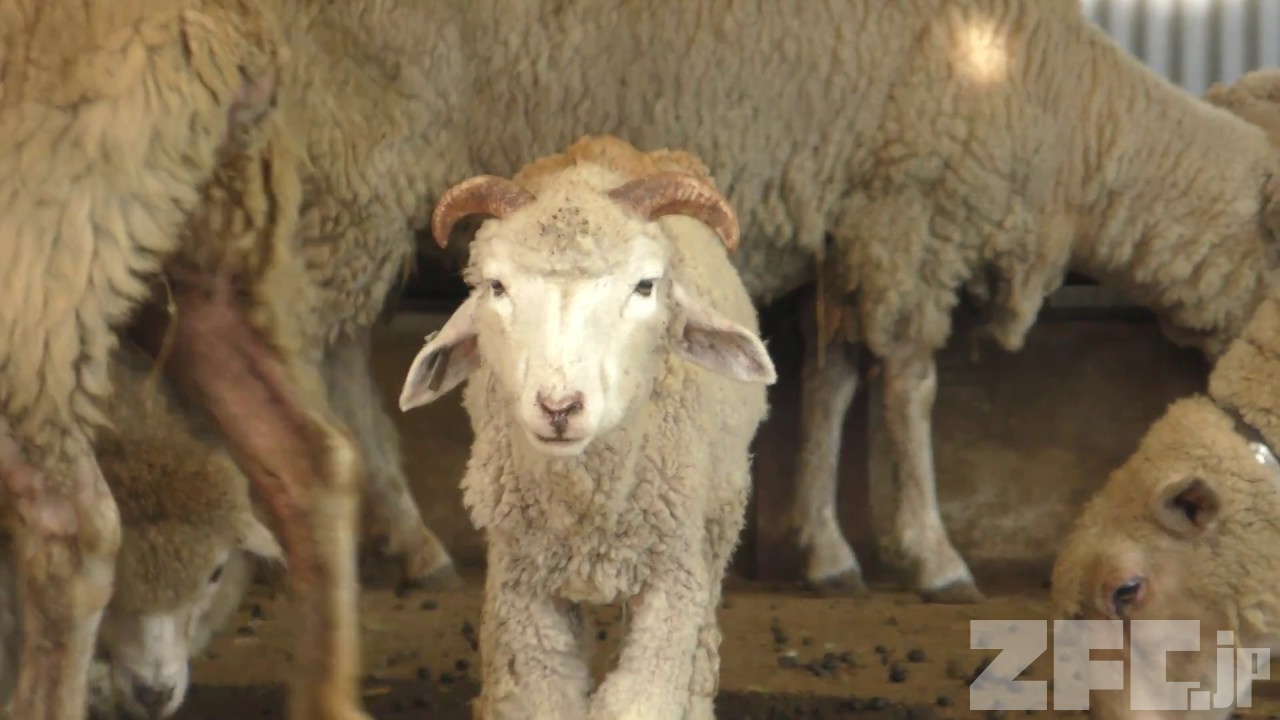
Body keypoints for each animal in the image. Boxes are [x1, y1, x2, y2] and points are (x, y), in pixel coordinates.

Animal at [398, 135, 778, 720]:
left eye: (645, 285)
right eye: (496, 286)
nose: (559, 406)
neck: (587, 516)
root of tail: (605, 147)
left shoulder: (673, 581)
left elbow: (640, 699)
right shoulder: (525, 590)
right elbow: (545, 696)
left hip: (716, 530)